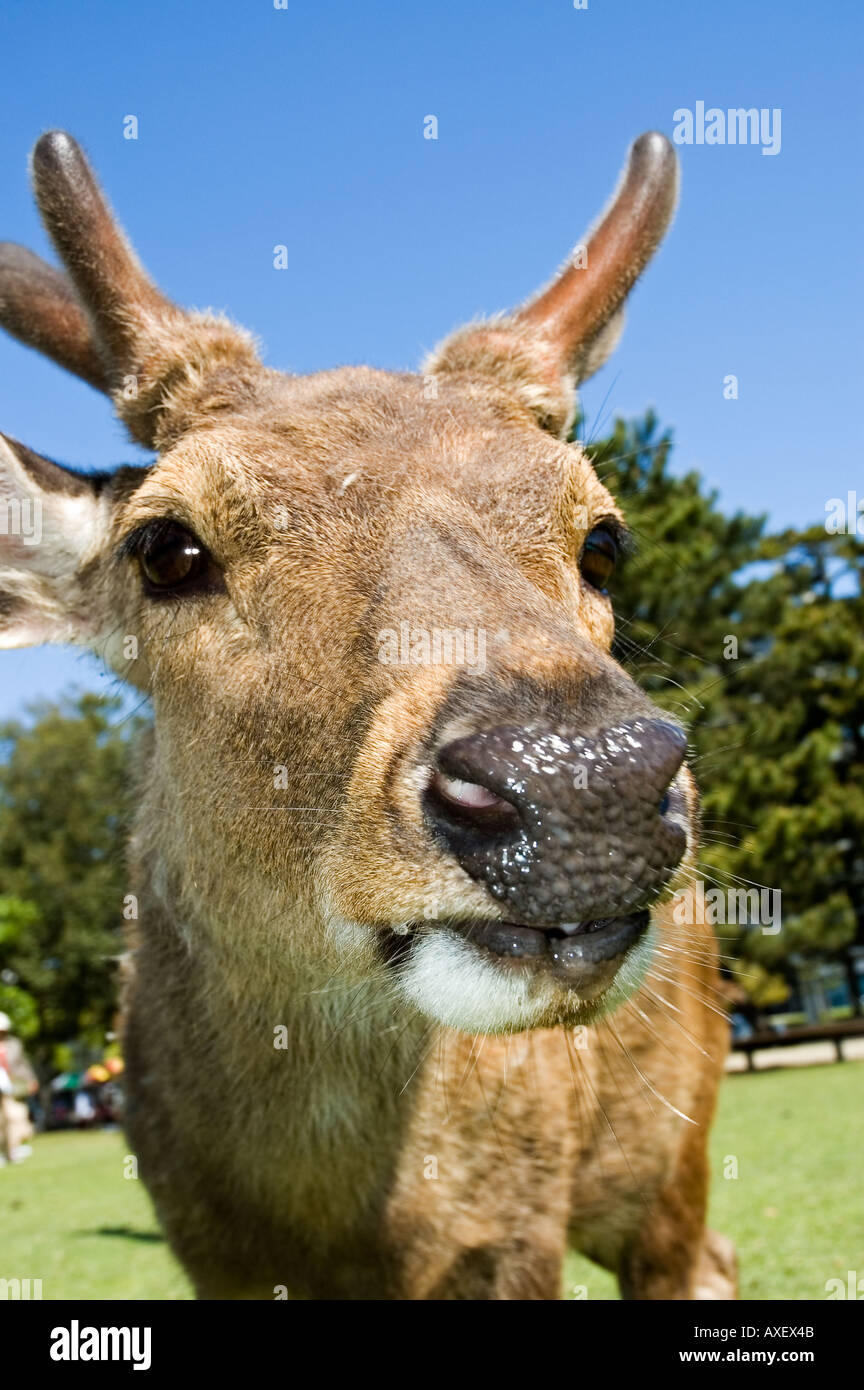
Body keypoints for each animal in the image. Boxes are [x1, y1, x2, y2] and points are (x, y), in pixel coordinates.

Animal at [0, 129, 737, 1301]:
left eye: (603, 539)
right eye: (166, 547)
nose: (584, 779)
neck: (331, 1224)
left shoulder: (511, 1229)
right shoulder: (210, 1257)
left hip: (674, 1134)